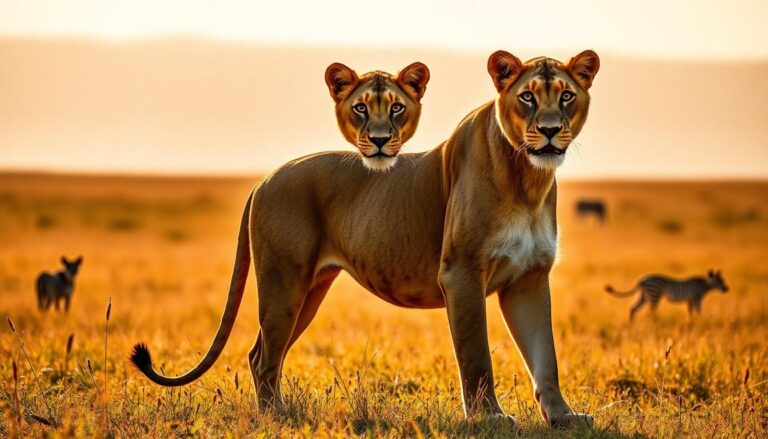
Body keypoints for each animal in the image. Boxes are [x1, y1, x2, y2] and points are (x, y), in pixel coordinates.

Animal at [131, 50, 599, 427]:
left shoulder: (529, 278)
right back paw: (276, 417)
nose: (550, 130)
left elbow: (546, 358)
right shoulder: (461, 272)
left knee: (261, 353)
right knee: (264, 357)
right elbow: (477, 356)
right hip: (285, 282)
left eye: (566, 96)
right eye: (527, 97)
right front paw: (489, 418)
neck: (528, 180)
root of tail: (265, 178)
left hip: (309, 291)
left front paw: (564, 417)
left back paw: (279, 410)